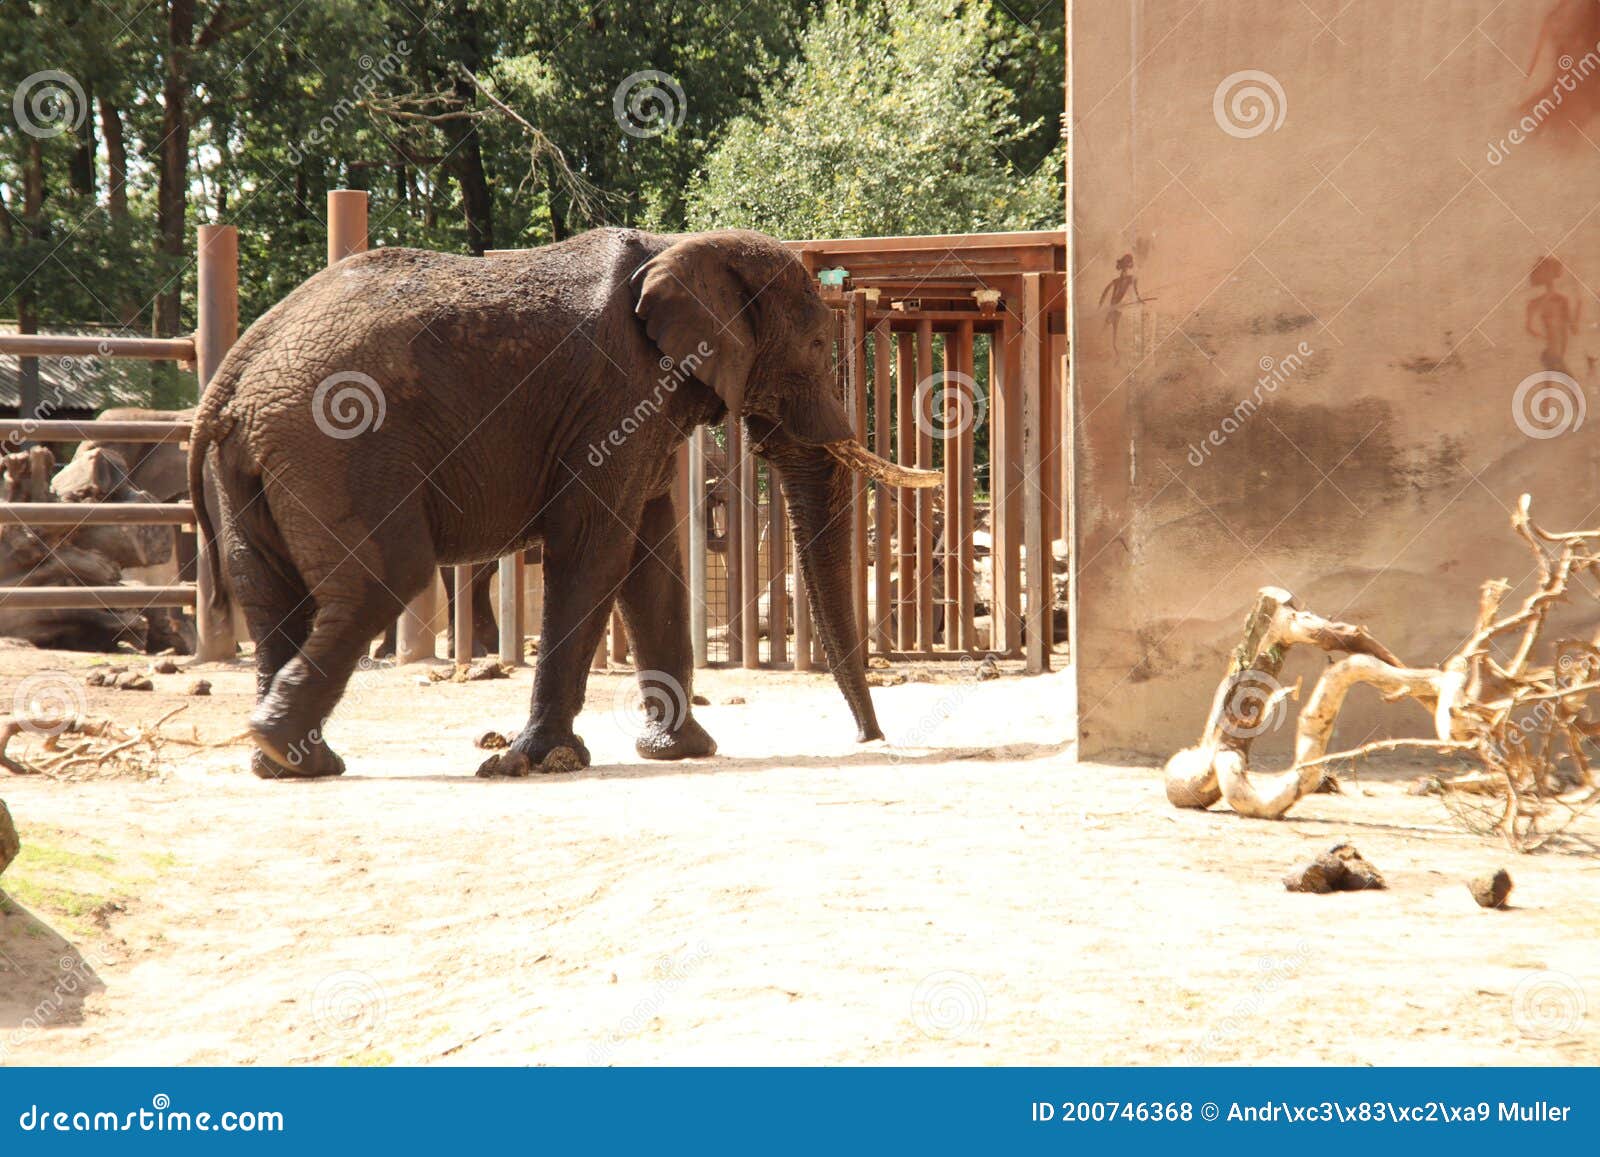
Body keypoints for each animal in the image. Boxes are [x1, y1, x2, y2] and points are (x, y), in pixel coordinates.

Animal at [189, 227, 939, 780]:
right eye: (814, 345)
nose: (872, 739)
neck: (682, 243)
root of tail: (234, 371)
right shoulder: (617, 392)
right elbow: (597, 548)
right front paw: (545, 759)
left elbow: (651, 559)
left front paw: (683, 751)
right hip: (336, 442)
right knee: (385, 576)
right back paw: (286, 748)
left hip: (260, 460)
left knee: (271, 589)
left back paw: (288, 763)